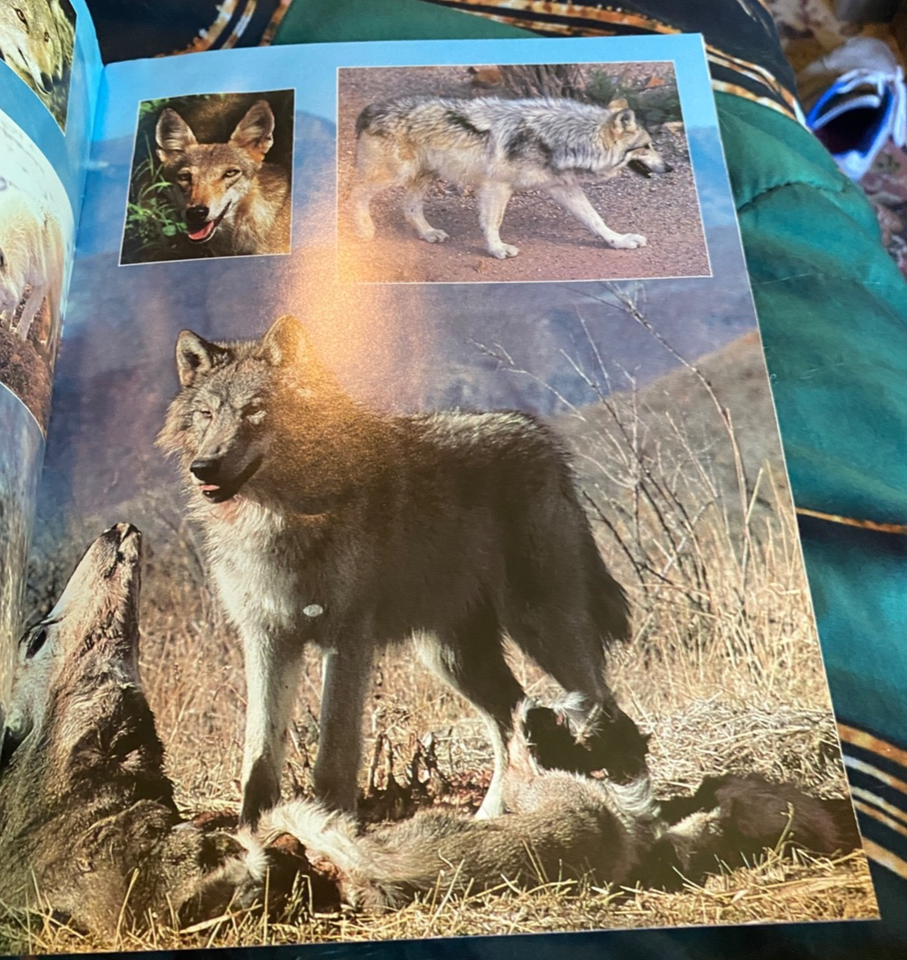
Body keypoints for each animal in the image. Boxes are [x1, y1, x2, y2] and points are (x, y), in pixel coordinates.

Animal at [0, 181, 64, 352]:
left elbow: (29, 309)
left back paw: (47, 351)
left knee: (54, 329)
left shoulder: (41, 283)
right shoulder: (20, 277)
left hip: (54, 295)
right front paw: (5, 324)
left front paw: (19, 337)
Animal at [158, 314, 649, 828]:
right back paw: (490, 819)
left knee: (605, 710)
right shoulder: (267, 638)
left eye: (255, 410)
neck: (280, 516)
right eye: (207, 414)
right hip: (450, 657)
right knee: (511, 722)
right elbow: (258, 758)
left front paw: (333, 825)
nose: (204, 466)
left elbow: (334, 753)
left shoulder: (348, 636)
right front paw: (252, 831)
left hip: (540, 630)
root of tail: (543, 438)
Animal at [350, 95, 672, 259]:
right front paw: (496, 249)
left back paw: (428, 234)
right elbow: (493, 223)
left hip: (424, 176)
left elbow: (596, 220)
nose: (669, 168)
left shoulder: (563, 187)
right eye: (646, 147)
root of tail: (369, 109)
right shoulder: (496, 186)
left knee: (408, 207)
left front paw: (618, 241)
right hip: (396, 175)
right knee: (354, 193)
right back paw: (363, 229)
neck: (561, 138)